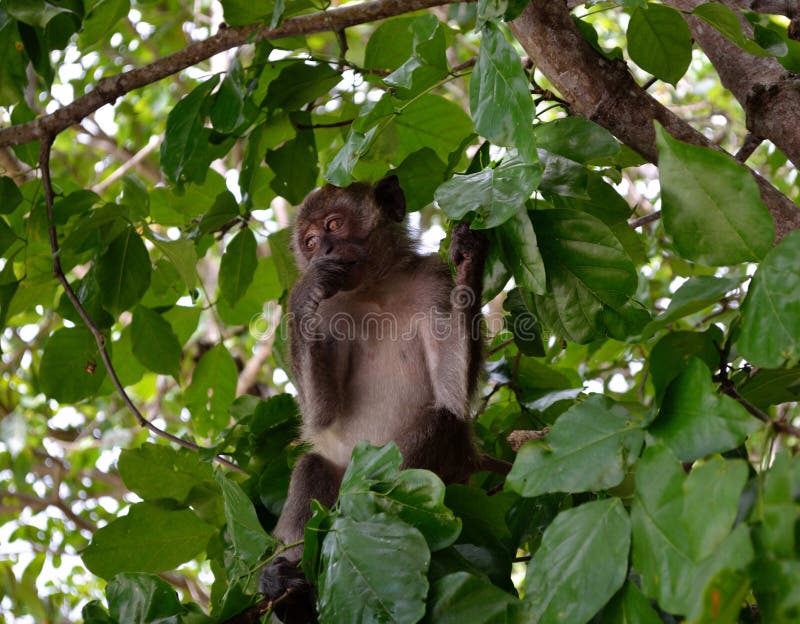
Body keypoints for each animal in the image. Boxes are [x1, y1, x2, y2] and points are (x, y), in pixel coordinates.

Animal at [259, 175, 505, 622]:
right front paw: (304, 291)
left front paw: (469, 258)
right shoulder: (328, 312)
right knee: (311, 465)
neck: (374, 289)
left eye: (334, 225)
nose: (324, 250)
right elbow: (321, 416)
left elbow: (452, 395)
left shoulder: (431, 281)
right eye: (309, 242)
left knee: (438, 421)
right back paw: (285, 589)